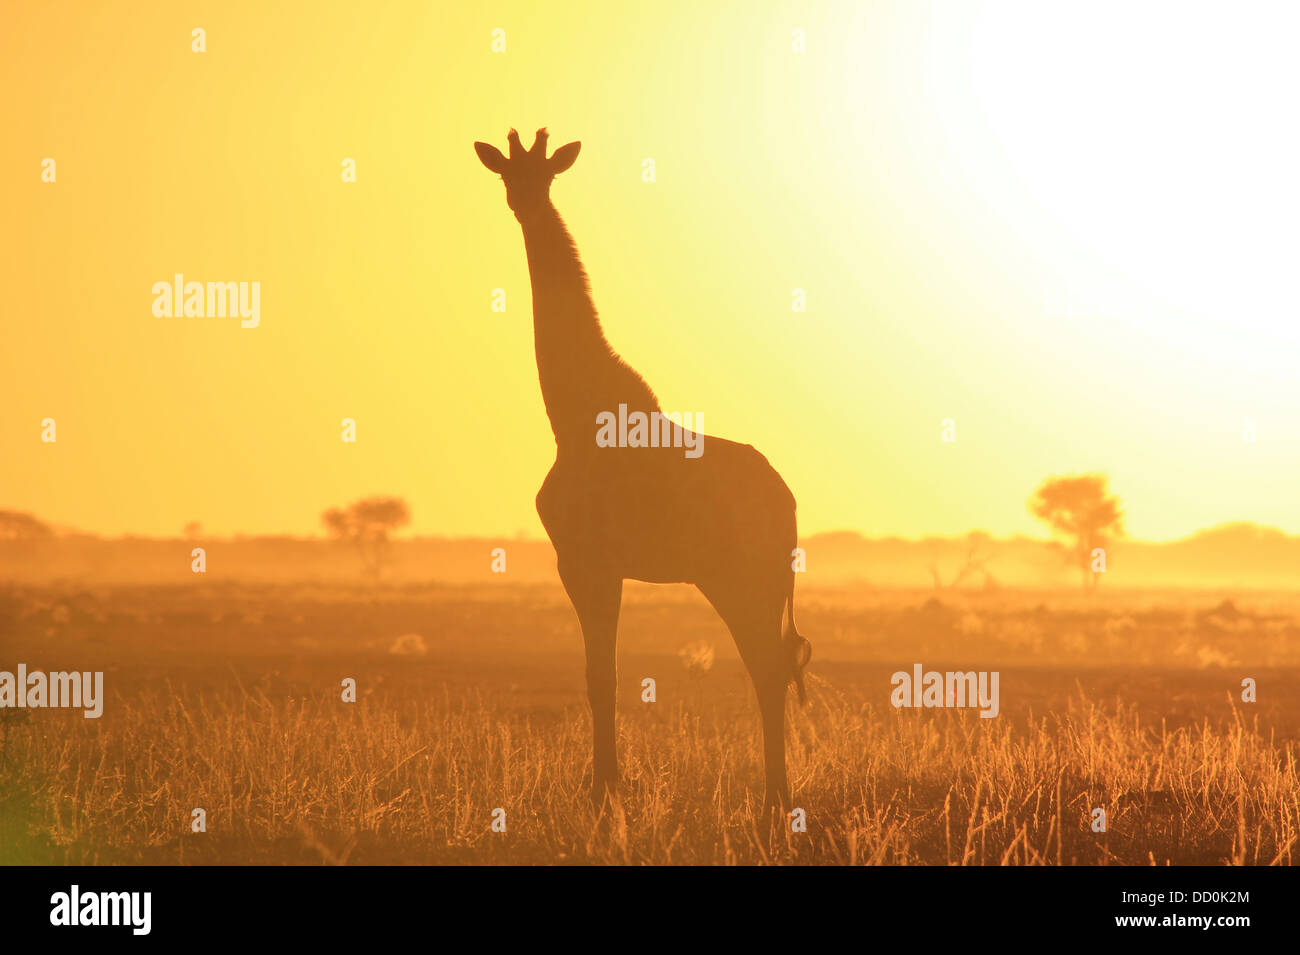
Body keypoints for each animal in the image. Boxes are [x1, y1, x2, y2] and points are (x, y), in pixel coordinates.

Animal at [474, 128, 811, 808]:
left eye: (544, 173)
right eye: (507, 174)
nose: (524, 205)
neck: (572, 414)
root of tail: (788, 500)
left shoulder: (583, 562)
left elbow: (600, 674)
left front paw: (604, 791)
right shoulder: (597, 566)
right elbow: (603, 671)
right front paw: (606, 786)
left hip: (739, 577)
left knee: (769, 664)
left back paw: (774, 801)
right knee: (780, 661)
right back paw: (777, 796)